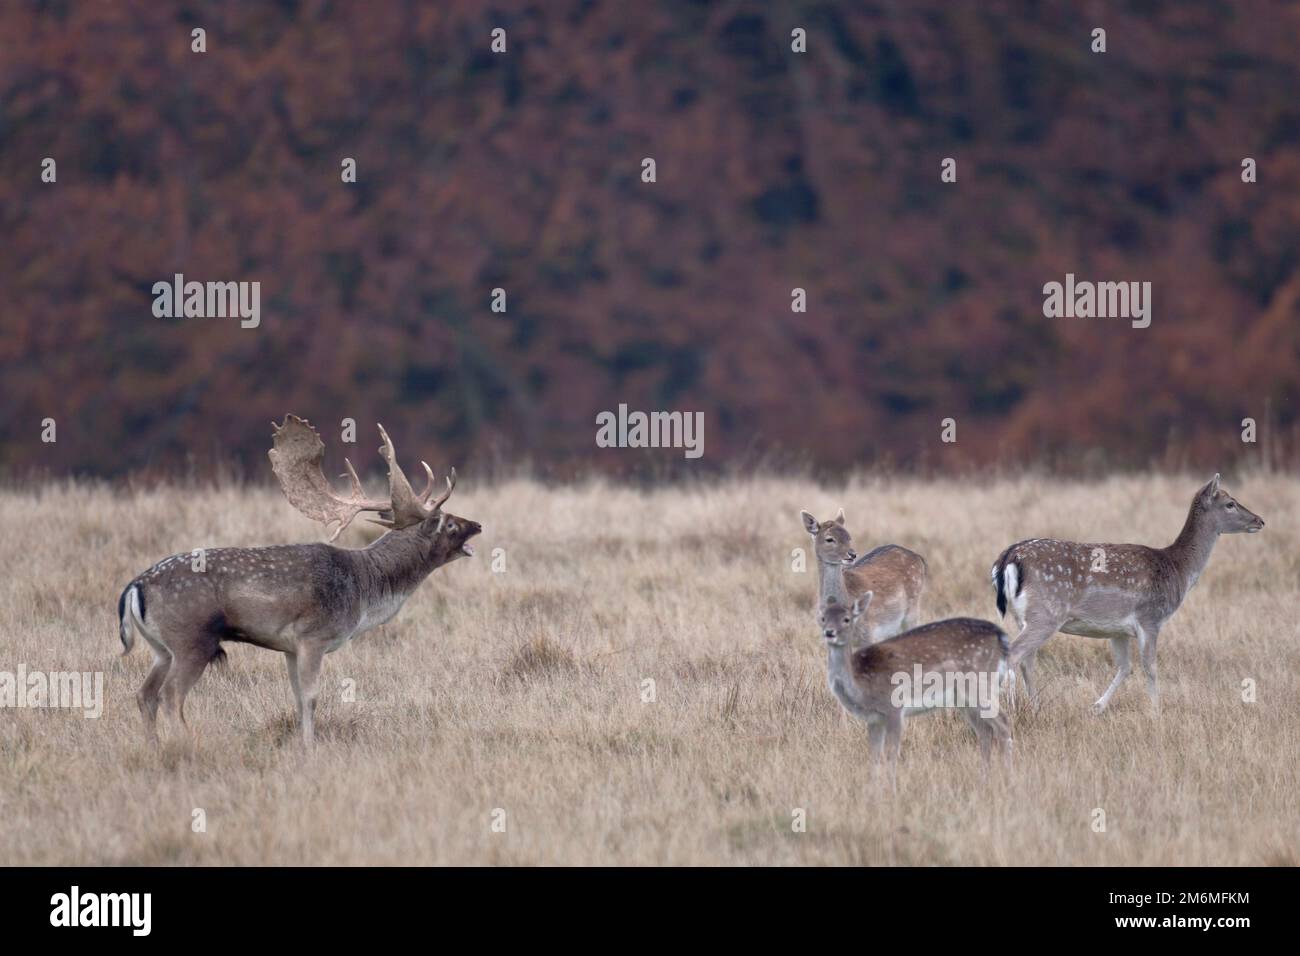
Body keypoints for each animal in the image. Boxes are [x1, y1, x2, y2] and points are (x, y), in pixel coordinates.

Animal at [116, 415, 481, 746]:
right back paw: (189, 745)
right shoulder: (313, 637)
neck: (364, 590)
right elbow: (310, 698)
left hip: (161, 647)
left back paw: (155, 748)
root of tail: (135, 587)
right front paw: (310, 746)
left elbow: (295, 698)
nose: (477, 524)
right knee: (170, 695)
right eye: (449, 524)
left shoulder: (289, 647)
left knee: (144, 694)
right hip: (191, 639)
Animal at [799, 509, 927, 643]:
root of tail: (920, 558)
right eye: (829, 539)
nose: (852, 554)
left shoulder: (867, 632)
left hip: (912, 611)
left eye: (849, 537)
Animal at [818, 593, 1012, 777]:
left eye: (846, 619)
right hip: (962, 699)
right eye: (823, 618)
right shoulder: (874, 719)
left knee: (1003, 723)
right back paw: (983, 778)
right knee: (985, 731)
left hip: (979, 683)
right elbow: (874, 757)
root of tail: (1001, 636)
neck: (861, 688)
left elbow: (890, 755)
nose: (829, 632)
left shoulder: (893, 707)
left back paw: (1006, 777)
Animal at [990, 474, 1264, 715]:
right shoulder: (1150, 618)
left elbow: (1126, 667)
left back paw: (1034, 708)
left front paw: (1097, 707)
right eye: (1230, 503)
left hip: (1023, 617)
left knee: (1026, 660)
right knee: (1014, 655)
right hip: (1046, 615)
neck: (1178, 570)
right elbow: (1150, 667)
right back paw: (1012, 709)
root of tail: (1009, 557)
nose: (1260, 520)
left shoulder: (1117, 630)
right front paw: (1156, 712)